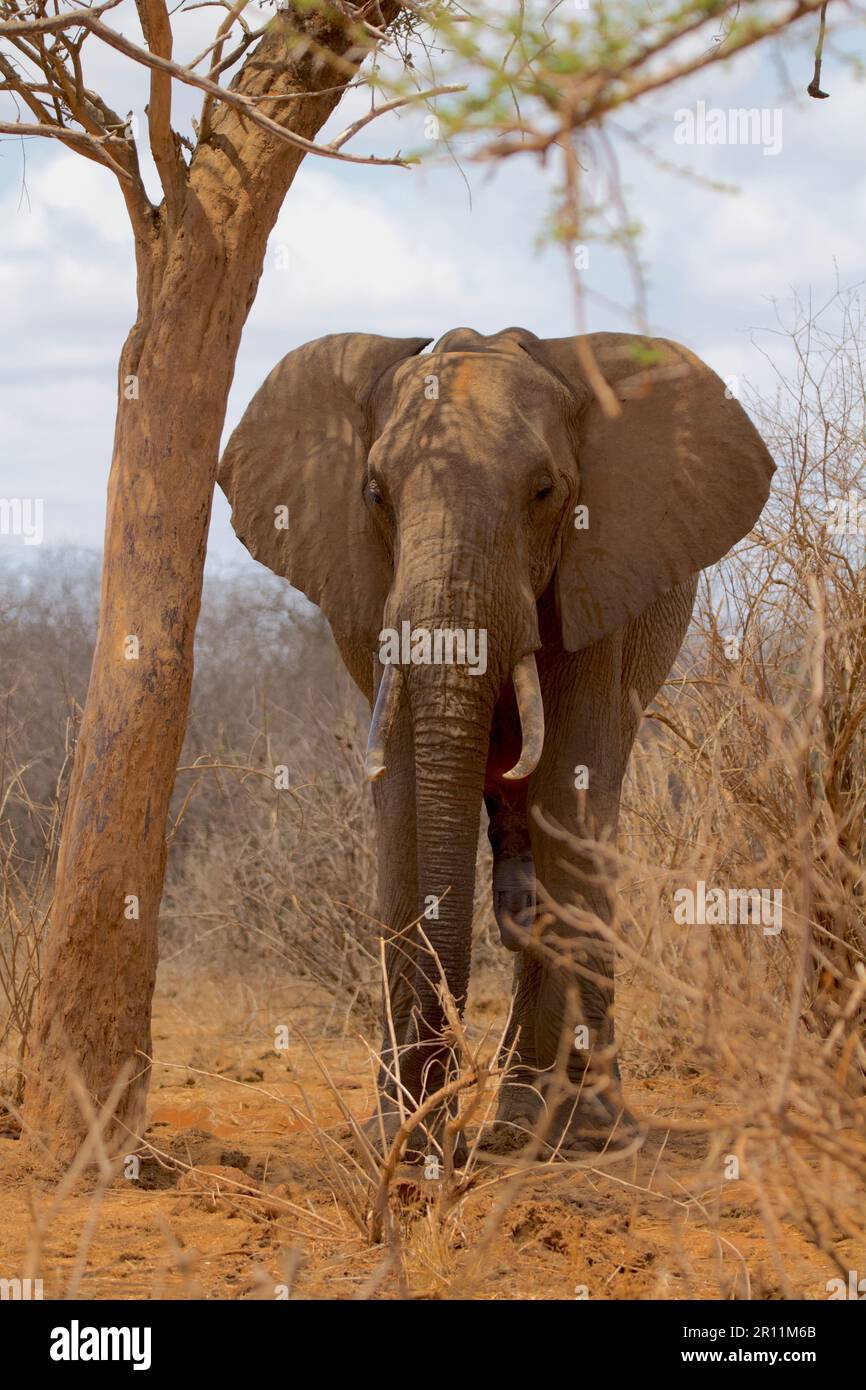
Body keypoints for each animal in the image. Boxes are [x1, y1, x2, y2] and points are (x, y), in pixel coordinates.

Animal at [218, 326, 774, 1160]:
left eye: (545, 491)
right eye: (374, 494)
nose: (443, 1126)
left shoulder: (598, 572)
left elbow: (571, 796)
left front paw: (560, 1130)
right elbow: (404, 811)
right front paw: (396, 1132)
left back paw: (562, 1118)